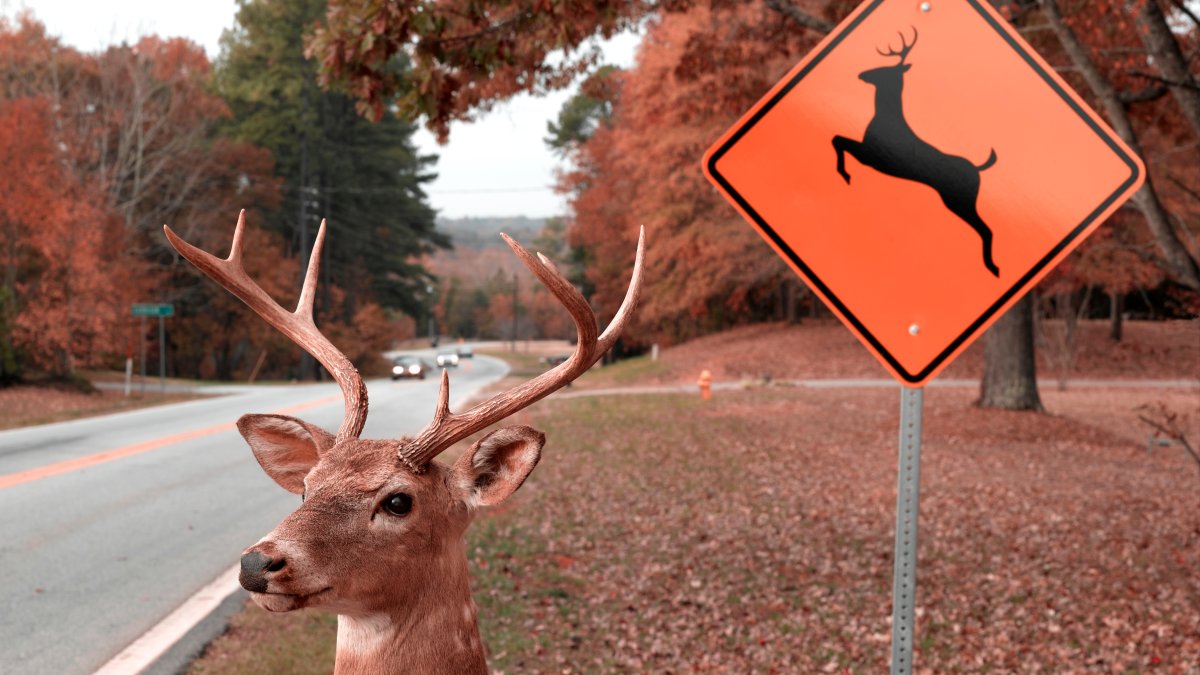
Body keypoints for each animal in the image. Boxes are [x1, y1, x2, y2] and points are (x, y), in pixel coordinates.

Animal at [832, 27, 1001, 277]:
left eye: (884, 70)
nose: (862, 74)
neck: (886, 117)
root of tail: (978, 170)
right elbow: (838, 139)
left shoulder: (870, 156)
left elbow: (838, 140)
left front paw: (845, 174)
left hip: (960, 199)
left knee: (986, 229)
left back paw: (993, 268)